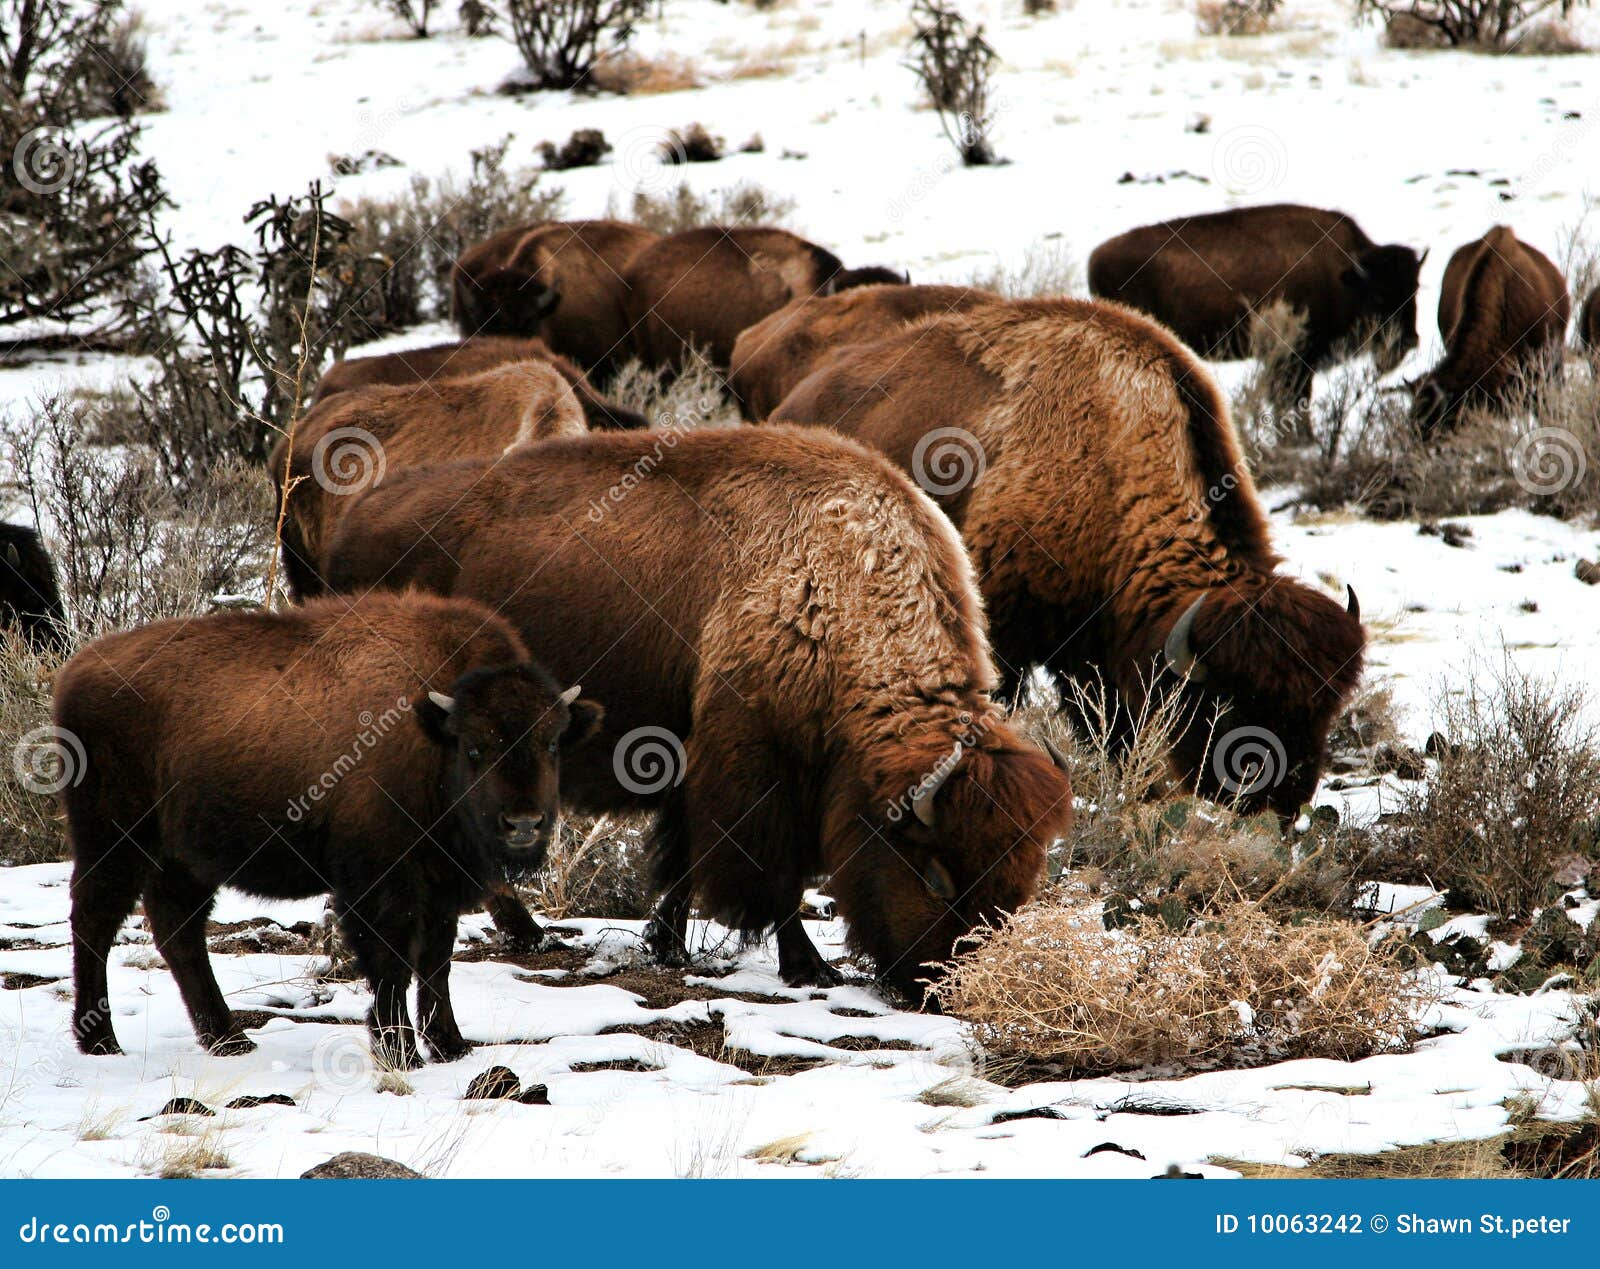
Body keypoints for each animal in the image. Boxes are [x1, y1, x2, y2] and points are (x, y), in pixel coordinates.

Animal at [57, 591, 602, 1066]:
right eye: (474, 748)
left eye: (552, 743)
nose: (523, 823)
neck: (428, 732)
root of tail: (75, 672)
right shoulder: (380, 885)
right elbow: (391, 962)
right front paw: (401, 1051)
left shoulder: (440, 886)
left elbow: (436, 963)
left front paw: (451, 1047)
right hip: (114, 842)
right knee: (95, 920)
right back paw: (101, 1041)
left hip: (184, 858)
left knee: (178, 931)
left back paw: (228, 1039)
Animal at [321, 427, 1072, 999]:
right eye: (938, 876)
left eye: (1015, 888)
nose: (937, 991)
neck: (835, 584)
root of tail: (349, 526)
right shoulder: (748, 767)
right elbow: (769, 877)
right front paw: (808, 966)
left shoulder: (693, 763)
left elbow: (682, 862)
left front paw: (668, 946)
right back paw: (521, 932)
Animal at [771, 297, 1366, 821]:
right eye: (1235, 702)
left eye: (1326, 707)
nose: (1284, 802)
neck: (1113, 455)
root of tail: (791, 407)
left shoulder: (1090, 648)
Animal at [1089, 204, 1423, 414]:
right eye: (1378, 296)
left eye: (1415, 289)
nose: (1408, 340)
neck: (1343, 276)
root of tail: (1096, 257)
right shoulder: (1294, 359)